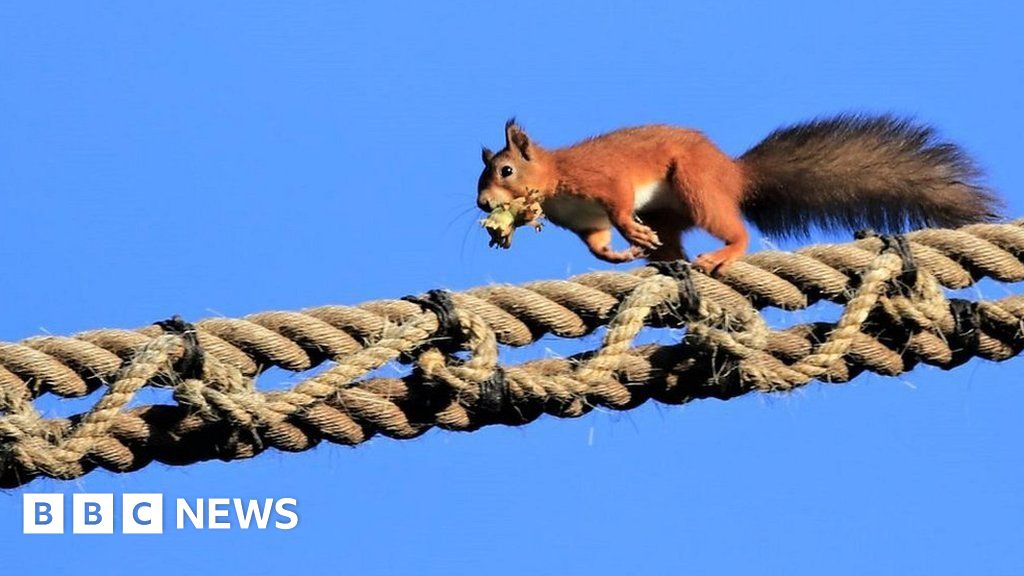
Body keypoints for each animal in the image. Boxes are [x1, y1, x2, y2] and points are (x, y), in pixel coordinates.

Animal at [476, 115, 1002, 273]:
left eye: (505, 170)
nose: (482, 205)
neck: (555, 177)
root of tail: (734, 173)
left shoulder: (603, 181)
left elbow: (620, 203)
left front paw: (628, 231)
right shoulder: (584, 220)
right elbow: (595, 241)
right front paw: (616, 254)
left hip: (697, 186)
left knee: (734, 229)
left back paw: (721, 254)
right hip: (673, 211)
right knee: (673, 241)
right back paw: (665, 261)